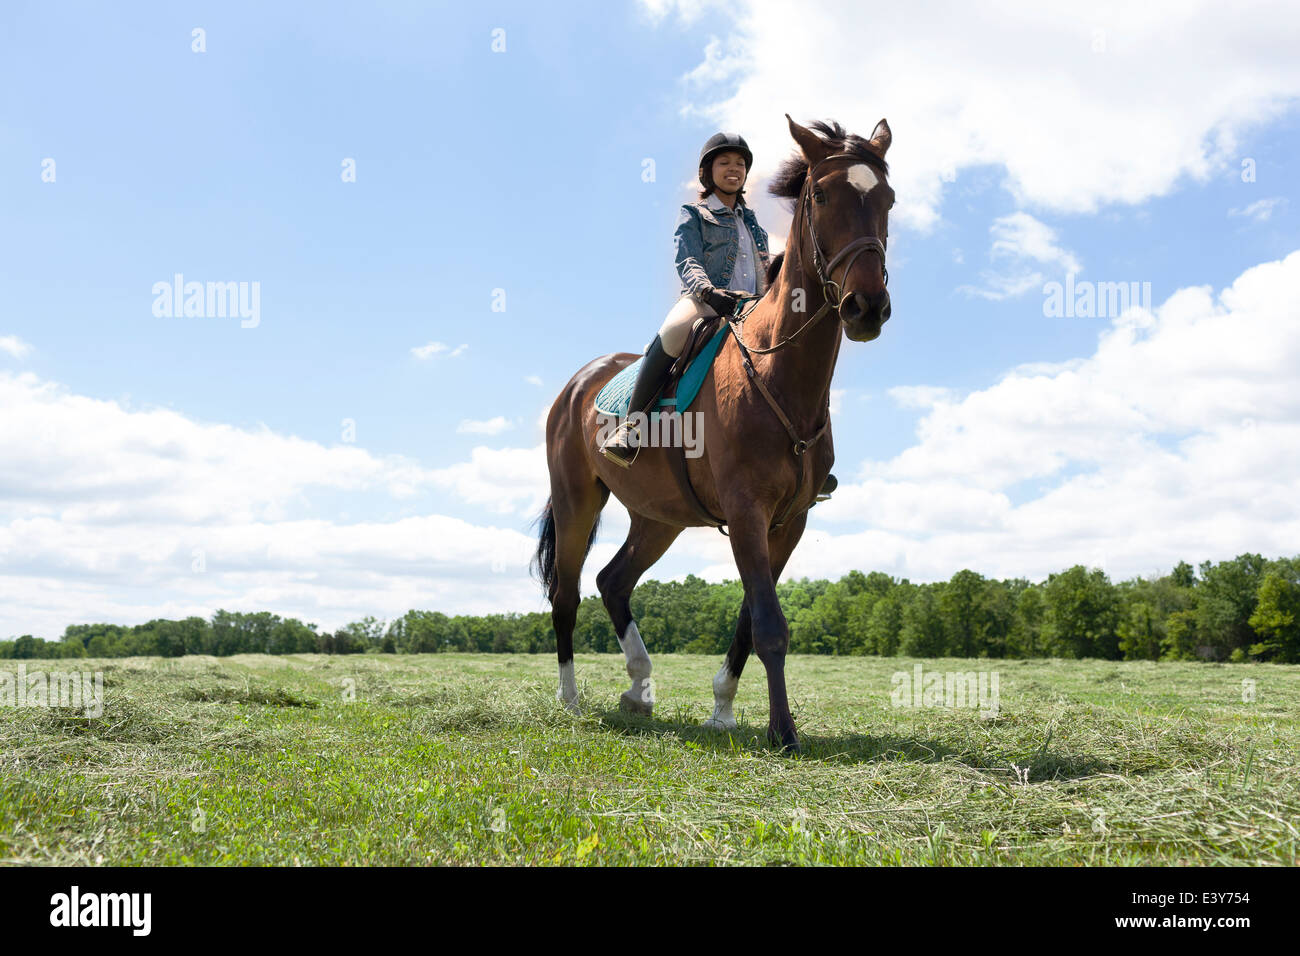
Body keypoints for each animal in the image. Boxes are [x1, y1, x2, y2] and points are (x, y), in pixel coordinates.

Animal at [533, 115, 894, 753]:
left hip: (659, 517)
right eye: (823, 195)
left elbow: (751, 619)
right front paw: (783, 731)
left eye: (889, 200)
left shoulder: (788, 522)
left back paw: (639, 689)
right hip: (578, 501)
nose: (867, 306)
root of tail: (580, 380)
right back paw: (571, 700)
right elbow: (769, 623)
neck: (778, 376)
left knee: (613, 581)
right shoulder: (747, 510)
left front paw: (723, 710)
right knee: (567, 594)